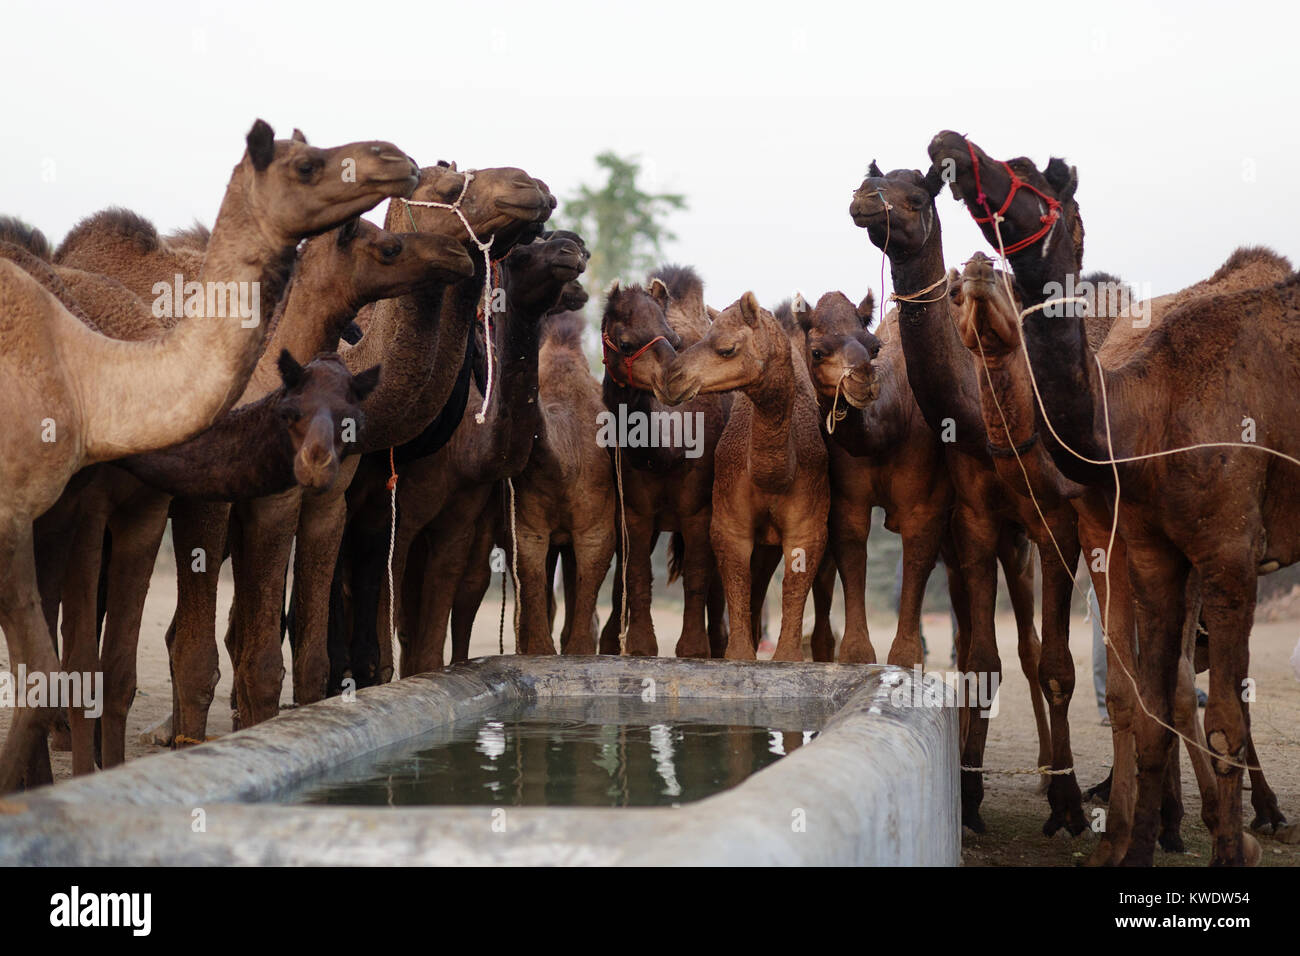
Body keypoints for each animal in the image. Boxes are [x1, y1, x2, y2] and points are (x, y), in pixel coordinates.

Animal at [0, 120, 417, 789]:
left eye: (349, 418)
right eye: (306, 164)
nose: (396, 157)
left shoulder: (138, 509)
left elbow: (118, 669)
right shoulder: (68, 510)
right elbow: (79, 657)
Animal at [595, 267, 730, 657]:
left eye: (673, 338)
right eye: (625, 342)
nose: (674, 381)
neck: (668, 453)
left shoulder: (699, 509)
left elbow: (697, 574)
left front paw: (694, 649)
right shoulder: (634, 509)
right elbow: (636, 572)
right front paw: (640, 646)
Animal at [660, 292, 828, 661]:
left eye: (726, 348)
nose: (670, 377)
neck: (774, 473)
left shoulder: (808, 524)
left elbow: (794, 583)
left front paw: (787, 656)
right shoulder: (728, 520)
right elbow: (737, 577)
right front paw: (738, 654)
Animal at [849, 161, 1088, 836]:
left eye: (915, 195)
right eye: (874, 182)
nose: (864, 200)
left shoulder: (1049, 524)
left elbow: (1051, 661)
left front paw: (1066, 803)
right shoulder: (972, 524)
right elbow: (979, 659)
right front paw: (970, 795)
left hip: (1027, 544)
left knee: (1034, 648)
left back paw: (1050, 774)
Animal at [929, 131, 1295, 865]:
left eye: (1025, 170)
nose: (947, 141)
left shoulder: (1223, 550)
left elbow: (1206, 708)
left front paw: (1214, 839)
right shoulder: (1133, 542)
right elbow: (1140, 698)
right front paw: (1129, 840)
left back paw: (1259, 812)